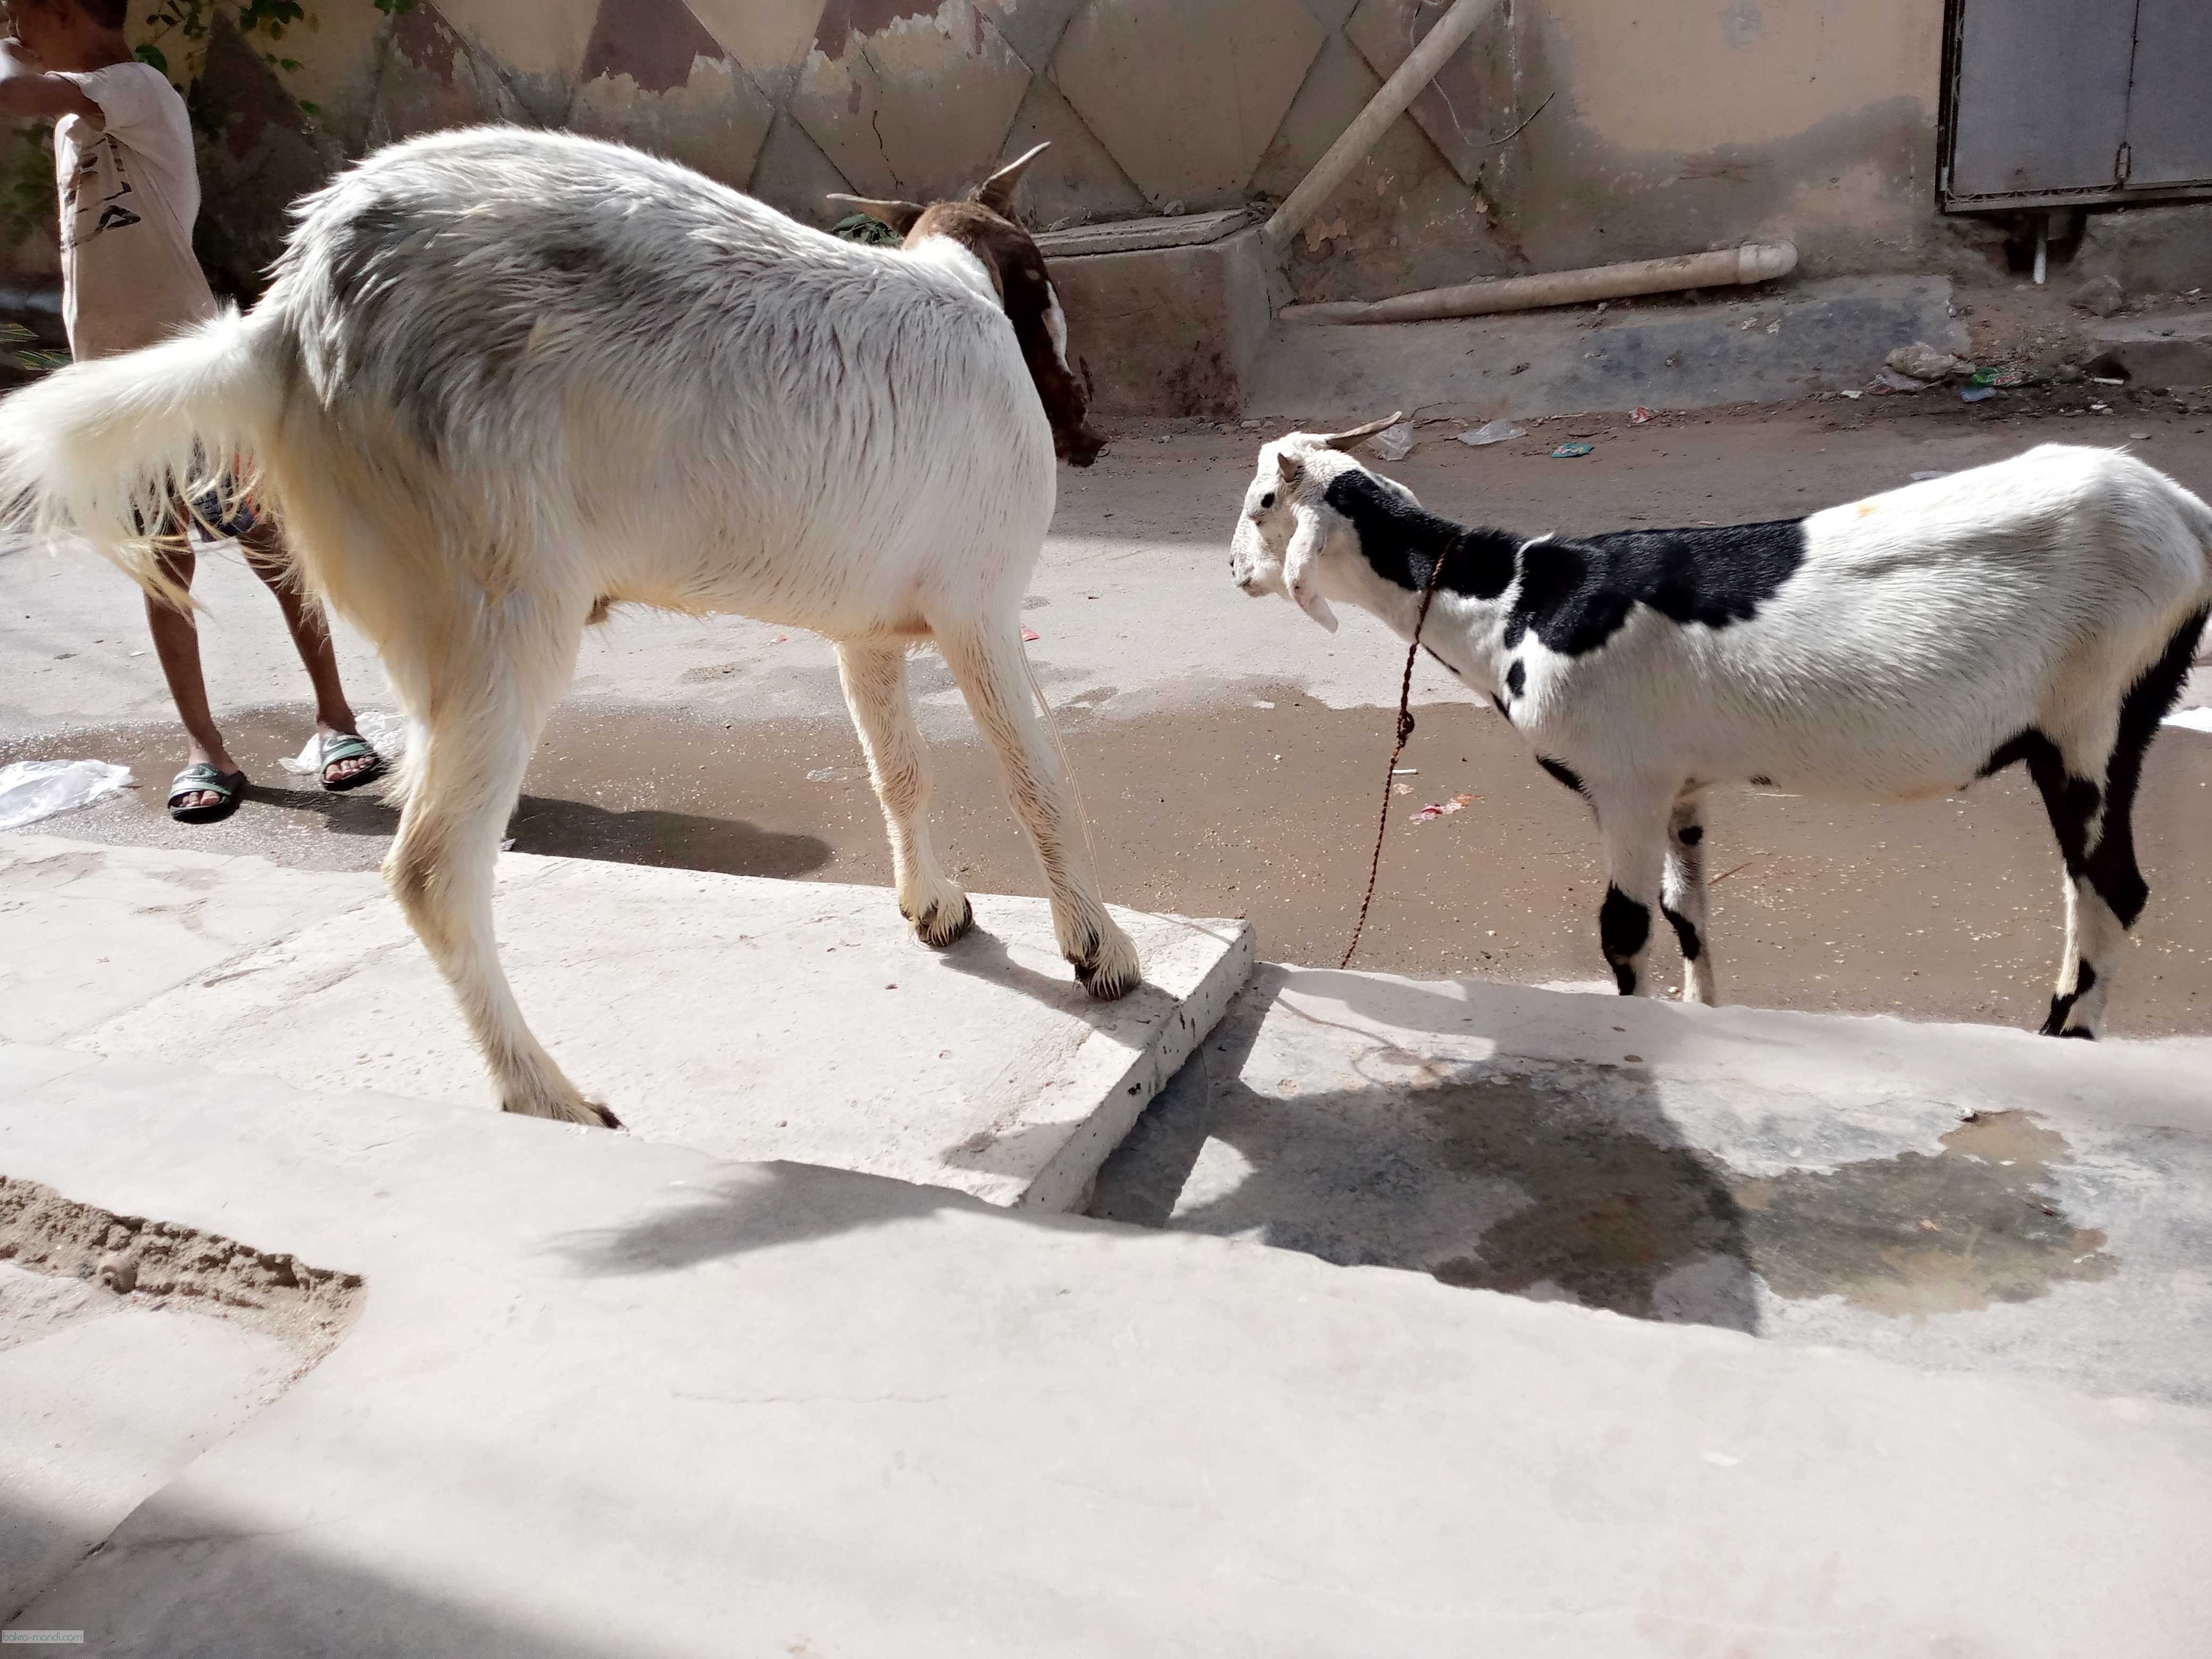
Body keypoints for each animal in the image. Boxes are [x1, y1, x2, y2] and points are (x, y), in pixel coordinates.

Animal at [0, 127, 1141, 1126]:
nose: (1088, 424)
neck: (963, 286)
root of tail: (281, 325)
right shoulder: (980, 604)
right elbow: (1041, 780)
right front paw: (1099, 947)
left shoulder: (863, 629)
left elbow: (897, 768)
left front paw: (932, 903)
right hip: (503, 610)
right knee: (433, 870)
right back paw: (547, 1097)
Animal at [1230, 424, 2211, 1038]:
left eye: (1264, 502)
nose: (1234, 570)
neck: (1512, 603)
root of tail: (2184, 514)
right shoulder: (1680, 788)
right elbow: (1687, 912)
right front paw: (1703, 1016)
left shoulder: (1622, 782)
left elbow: (1623, 928)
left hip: (2096, 715)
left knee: (2113, 890)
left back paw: (2063, 1041)